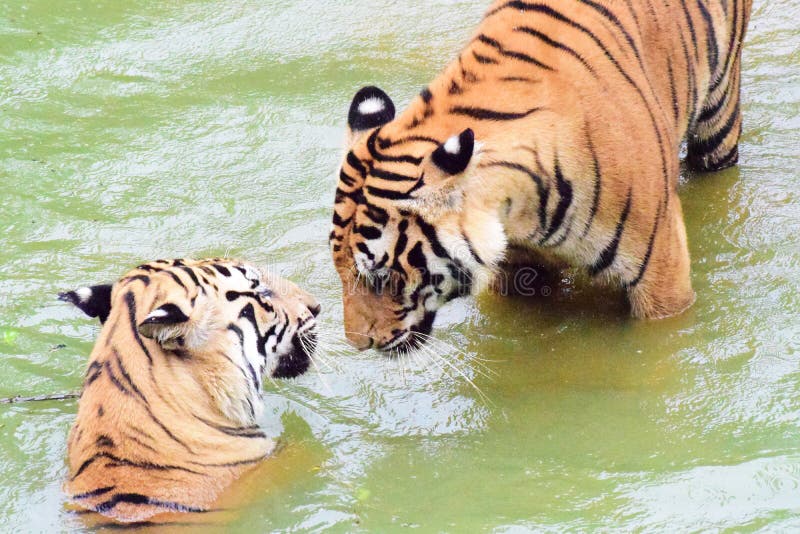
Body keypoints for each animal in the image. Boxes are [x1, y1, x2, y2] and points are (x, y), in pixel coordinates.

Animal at [330, 0, 753, 352]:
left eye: (381, 276)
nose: (358, 344)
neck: (516, 212)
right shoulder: (517, 271)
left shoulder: (660, 273)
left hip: (719, 121)